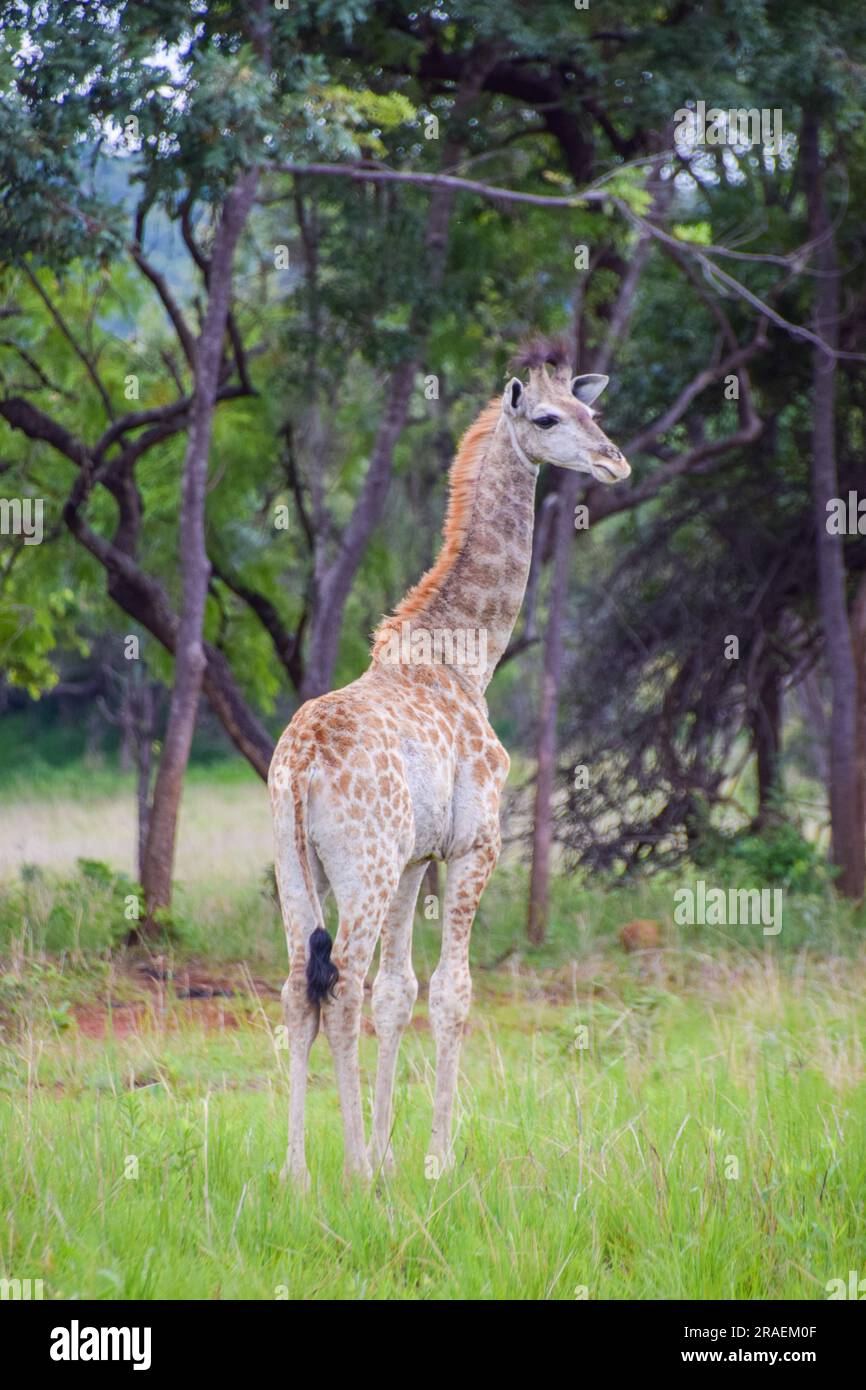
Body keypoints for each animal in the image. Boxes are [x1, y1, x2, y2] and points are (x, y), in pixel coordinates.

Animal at [268, 337, 631, 1184]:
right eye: (547, 417)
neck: (466, 658)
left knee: (300, 988)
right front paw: (432, 1160)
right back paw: (352, 1172)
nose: (615, 461)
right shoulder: (473, 846)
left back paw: (298, 1173)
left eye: (592, 407)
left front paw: (393, 1150)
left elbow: (400, 991)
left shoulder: (414, 858)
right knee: (340, 988)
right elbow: (452, 992)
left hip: (297, 867)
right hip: (360, 866)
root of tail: (302, 764)